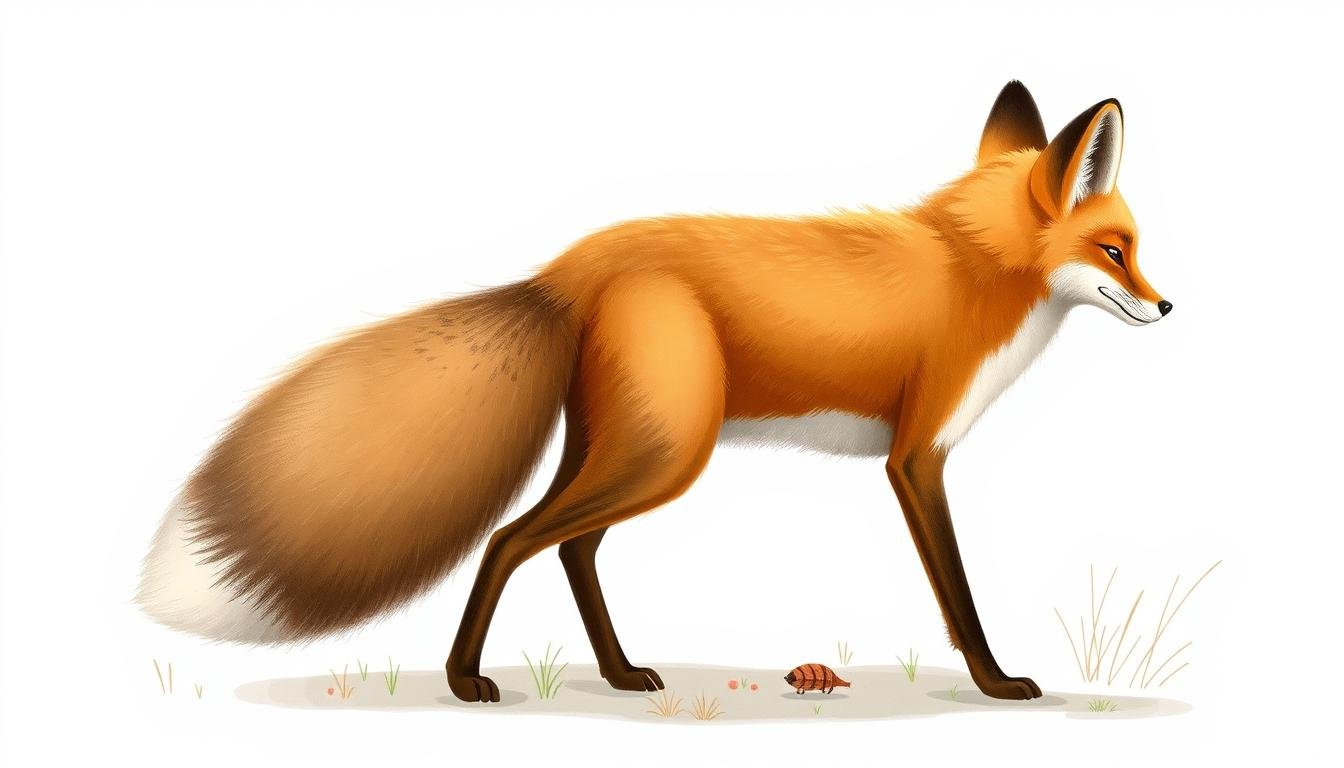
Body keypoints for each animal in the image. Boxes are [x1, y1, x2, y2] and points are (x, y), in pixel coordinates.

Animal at [138, 81, 1171, 702]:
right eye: (1116, 249)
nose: (1168, 306)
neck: (974, 268)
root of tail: (561, 271)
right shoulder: (915, 456)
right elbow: (958, 593)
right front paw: (998, 685)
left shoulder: (913, 456)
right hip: (666, 451)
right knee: (512, 538)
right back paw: (468, 681)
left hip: (622, 446)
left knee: (568, 546)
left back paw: (620, 671)